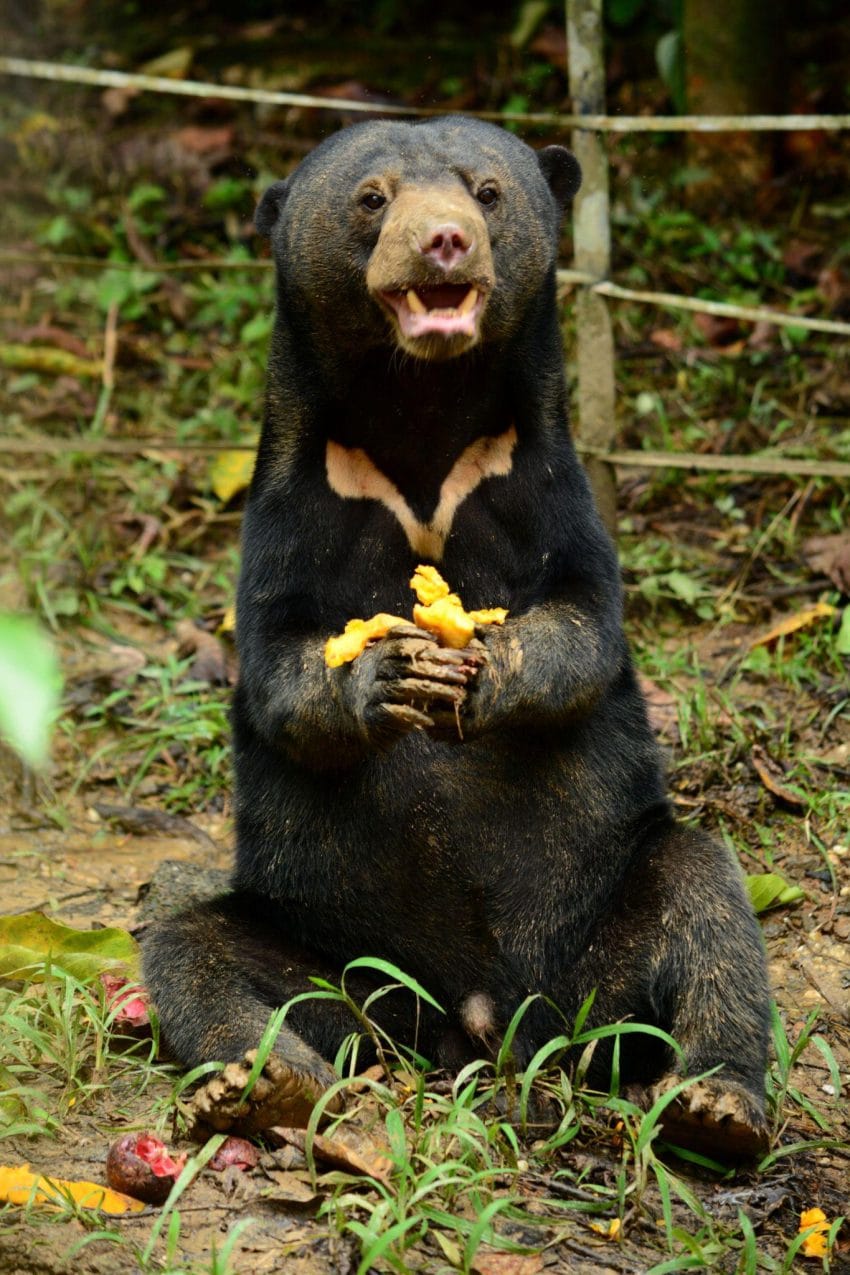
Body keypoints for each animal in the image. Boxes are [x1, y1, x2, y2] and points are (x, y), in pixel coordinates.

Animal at [142, 116, 771, 1156]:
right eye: (373, 198)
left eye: (487, 191)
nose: (443, 241)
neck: (423, 418)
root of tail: (478, 1019)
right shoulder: (292, 504)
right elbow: (278, 660)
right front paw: (390, 672)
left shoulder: (544, 481)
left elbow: (583, 619)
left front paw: (479, 668)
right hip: (333, 951)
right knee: (191, 943)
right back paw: (259, 1083)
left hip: (597, 933)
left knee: (707, 898)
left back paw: (717, 1104)